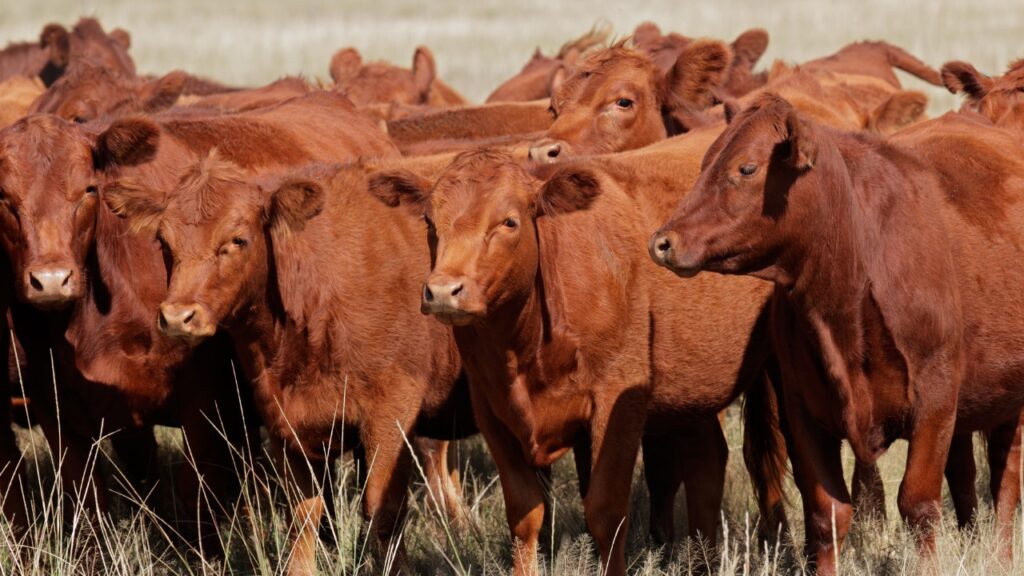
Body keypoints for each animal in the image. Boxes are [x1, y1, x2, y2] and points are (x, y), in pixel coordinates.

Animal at [650, 94, 1024, 573]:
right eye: (704, 162)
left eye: (746, 168)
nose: (663, 242)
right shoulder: (801, 409)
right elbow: (826, 513)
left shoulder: (936, 398)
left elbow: (918, 504)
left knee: (1005, 477)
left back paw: (1002, 555)